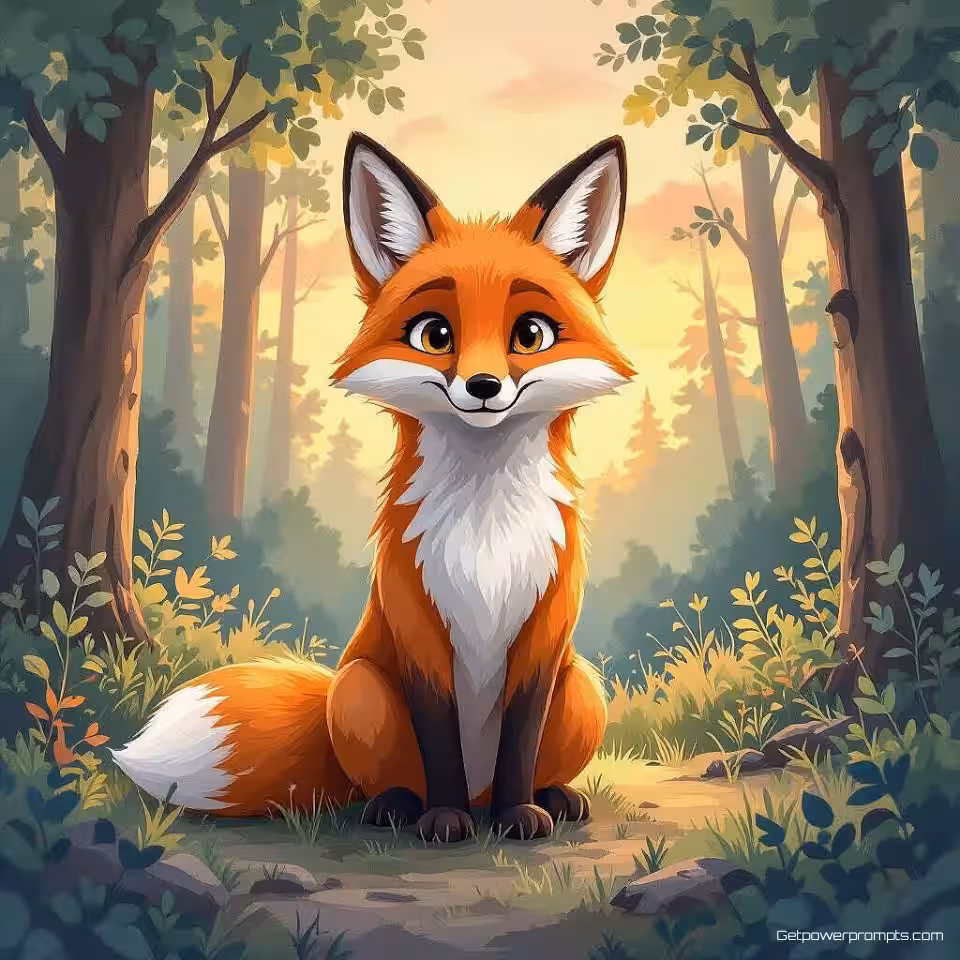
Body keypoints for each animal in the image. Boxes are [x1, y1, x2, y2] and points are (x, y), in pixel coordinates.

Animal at [112, 132, 635, 842]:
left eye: (530, 334)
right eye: (435, 334)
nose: (483, 386)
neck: (486, 523)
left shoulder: (544, 632)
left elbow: (520, 739)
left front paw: (520, 815)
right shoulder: (415, 621)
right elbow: (437, 731)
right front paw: (443, 820)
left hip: (583, 687)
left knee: (530, 764)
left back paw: (550, 799)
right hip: (359, 686)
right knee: (384, 781)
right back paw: (401, 807)